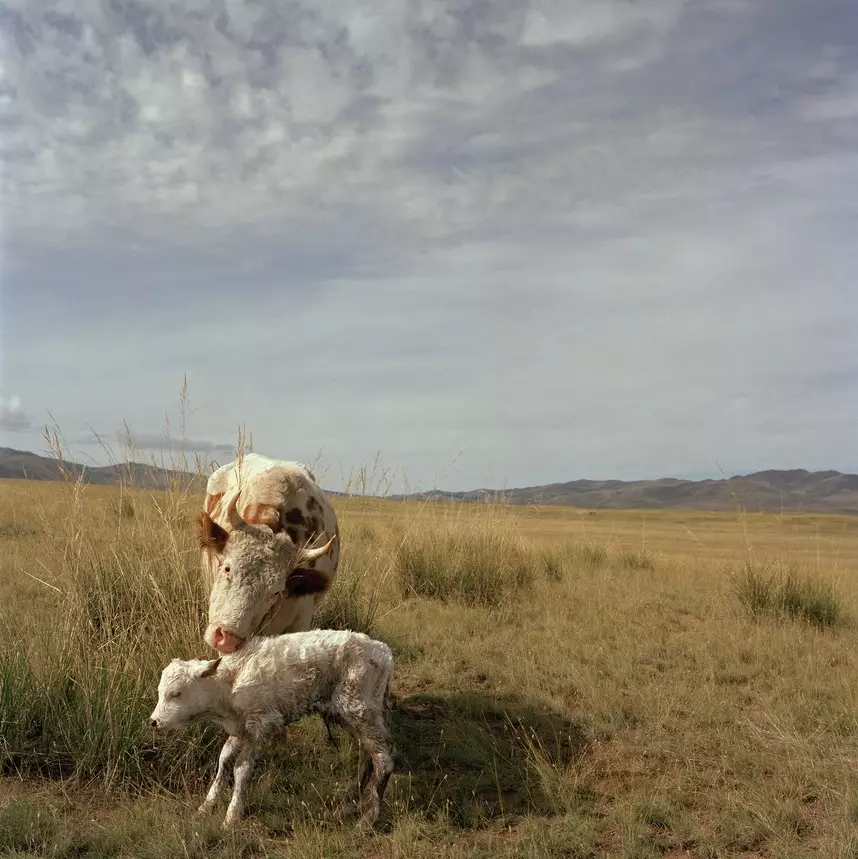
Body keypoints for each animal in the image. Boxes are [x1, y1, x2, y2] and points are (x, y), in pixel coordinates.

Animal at [150, 628, 394, 828]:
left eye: (176, 693)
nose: (153, 722)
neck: (231, 683)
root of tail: (384, 652)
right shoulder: (240, 728)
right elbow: (224, 758)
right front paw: (206, 806)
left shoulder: (261, 723)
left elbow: (241, 768)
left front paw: (231, 816)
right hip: (347, 713)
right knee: (368, 754)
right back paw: (351, 798)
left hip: (359, 706)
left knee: (383, 758)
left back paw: (368, 819)